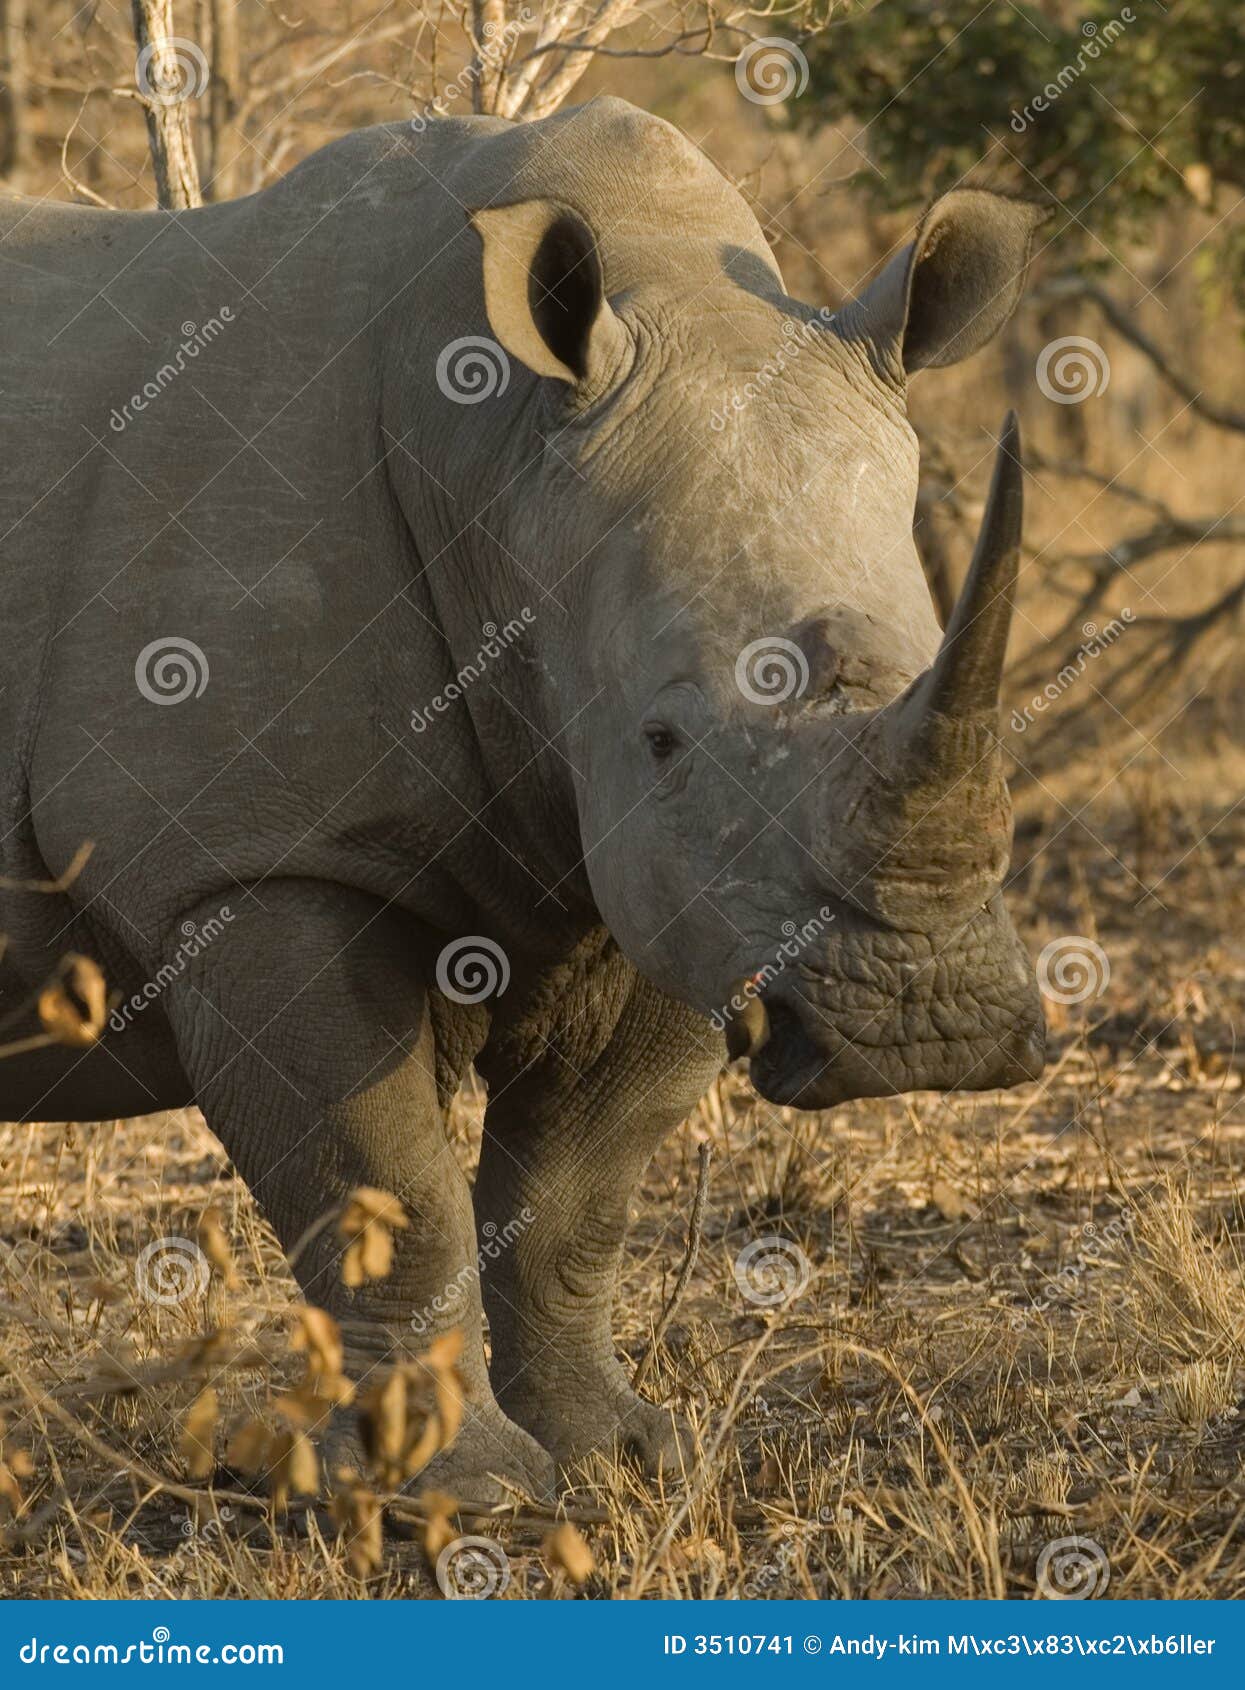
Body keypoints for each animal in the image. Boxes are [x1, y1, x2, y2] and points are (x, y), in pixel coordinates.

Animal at [0, 97, 1045, 1498]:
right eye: (661, 736)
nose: (929, 1026)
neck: (498, 470)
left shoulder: (668, 880)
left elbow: (574, 1193)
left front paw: (619, 1459)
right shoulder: (249, 854)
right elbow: (382, 1180)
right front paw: (452, 1486)